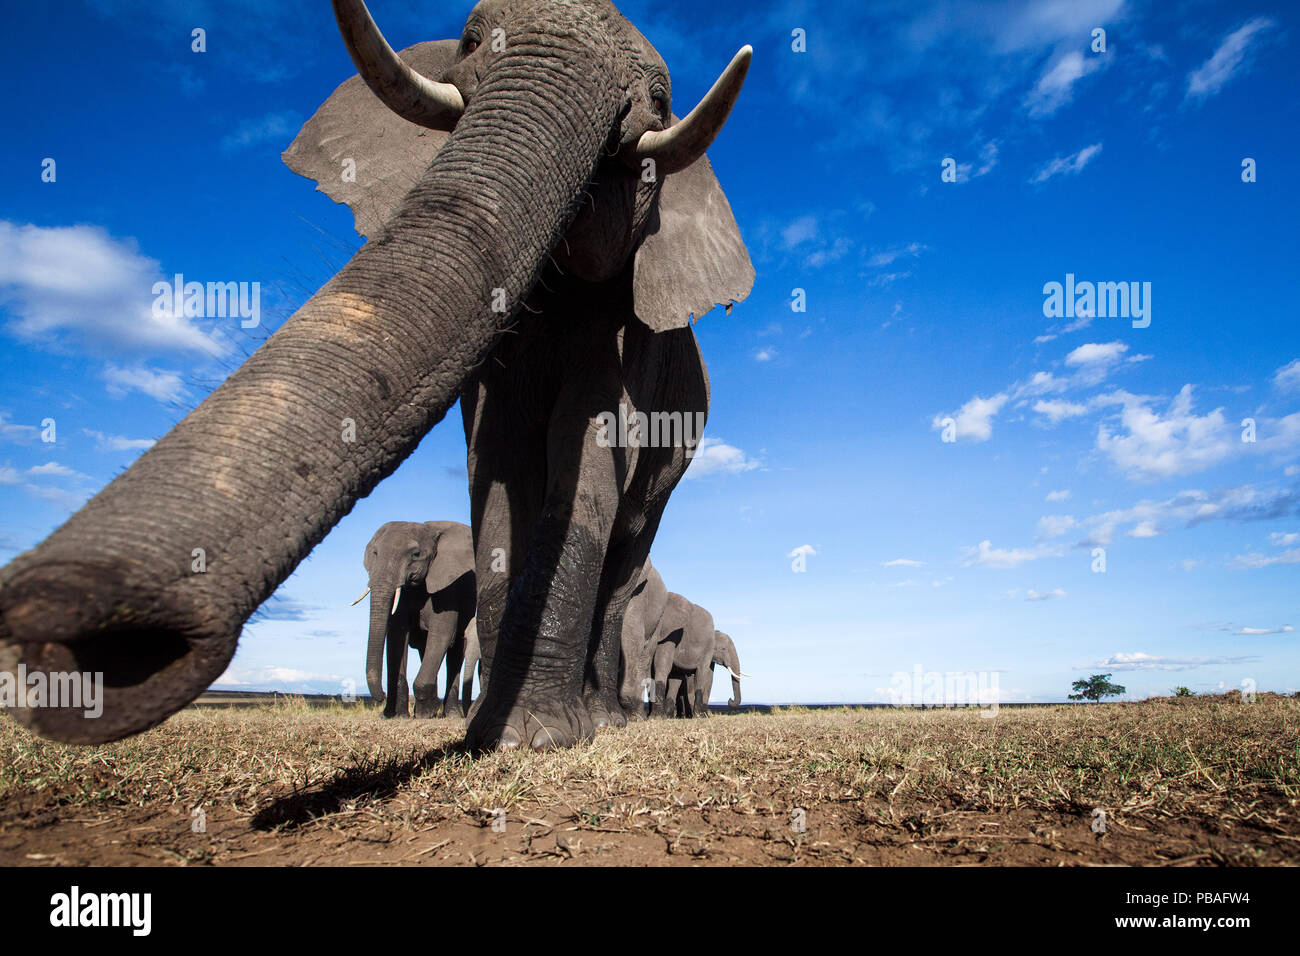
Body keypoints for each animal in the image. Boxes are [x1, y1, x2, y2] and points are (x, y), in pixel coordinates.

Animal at [355, 521, 475, 718]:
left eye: (416, 554)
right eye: (375, 553)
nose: (381, 696)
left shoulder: (449, 583)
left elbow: (442, 633)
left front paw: (426, 713)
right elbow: (397, 634)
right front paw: (398, 716)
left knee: (456, 650)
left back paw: (449, 714)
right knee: (424, 647)